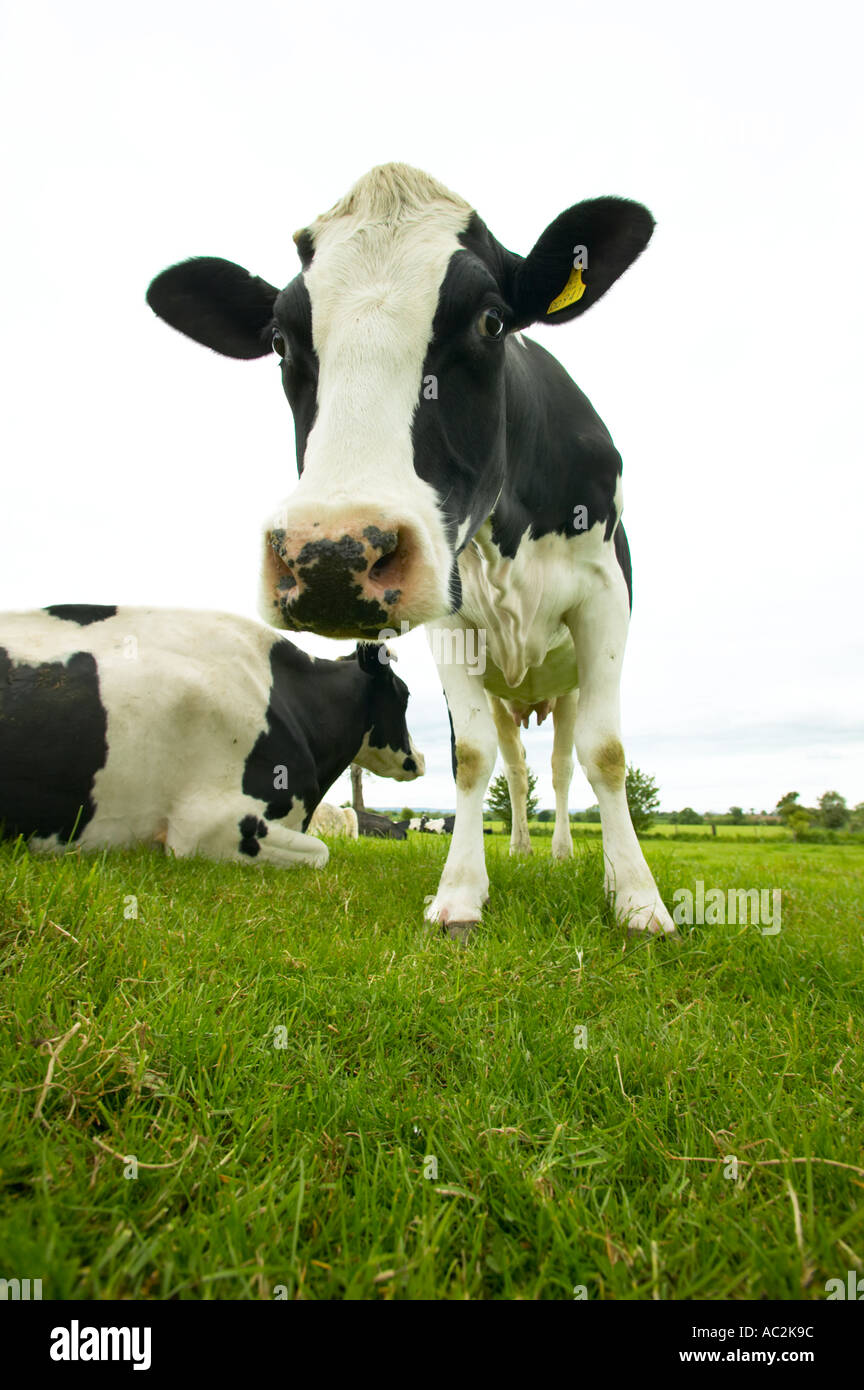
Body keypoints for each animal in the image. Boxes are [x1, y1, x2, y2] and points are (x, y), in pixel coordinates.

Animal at [146, 162, 677, 941]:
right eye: (279, 340)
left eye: (491, 321)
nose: (329, 558)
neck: (505, 534)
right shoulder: (451, 621)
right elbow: (470, 756)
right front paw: (460, 893)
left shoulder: (607, 600)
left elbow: (605, 754)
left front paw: (638, 900)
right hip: (506, 689)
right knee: (518, 767)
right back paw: (519, 849)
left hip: (566, 684)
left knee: (558, 765)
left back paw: (558, 853)